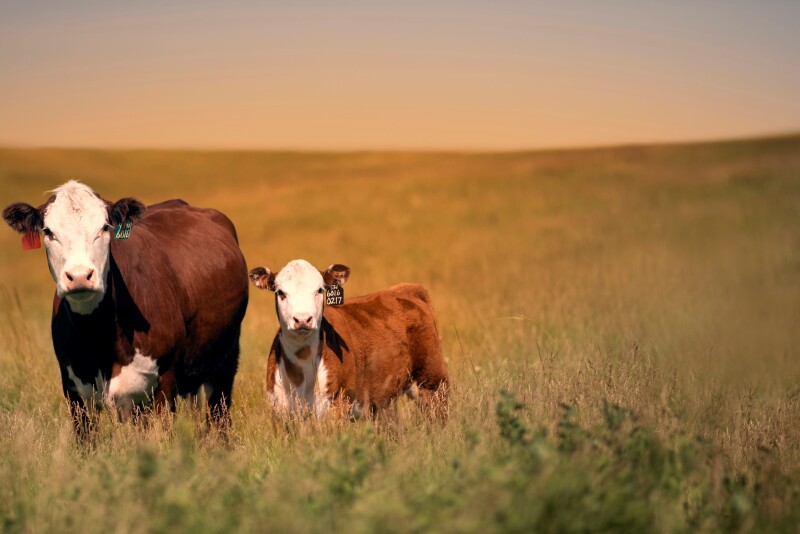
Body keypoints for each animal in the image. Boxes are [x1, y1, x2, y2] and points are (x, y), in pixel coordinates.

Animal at [2, 181, 249, 437]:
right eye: (48, 231)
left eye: (104, 227)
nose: (79, 276)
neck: (99, 337)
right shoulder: (74, 391)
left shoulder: (164, 381)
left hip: (224, 361)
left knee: (219, 417)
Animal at [248, 259, 448, 421]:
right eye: (280, 292)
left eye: (320, 290)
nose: (303, 319)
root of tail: (407, 289)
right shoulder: (280, 409)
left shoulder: (337, 403)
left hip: (432, 381)